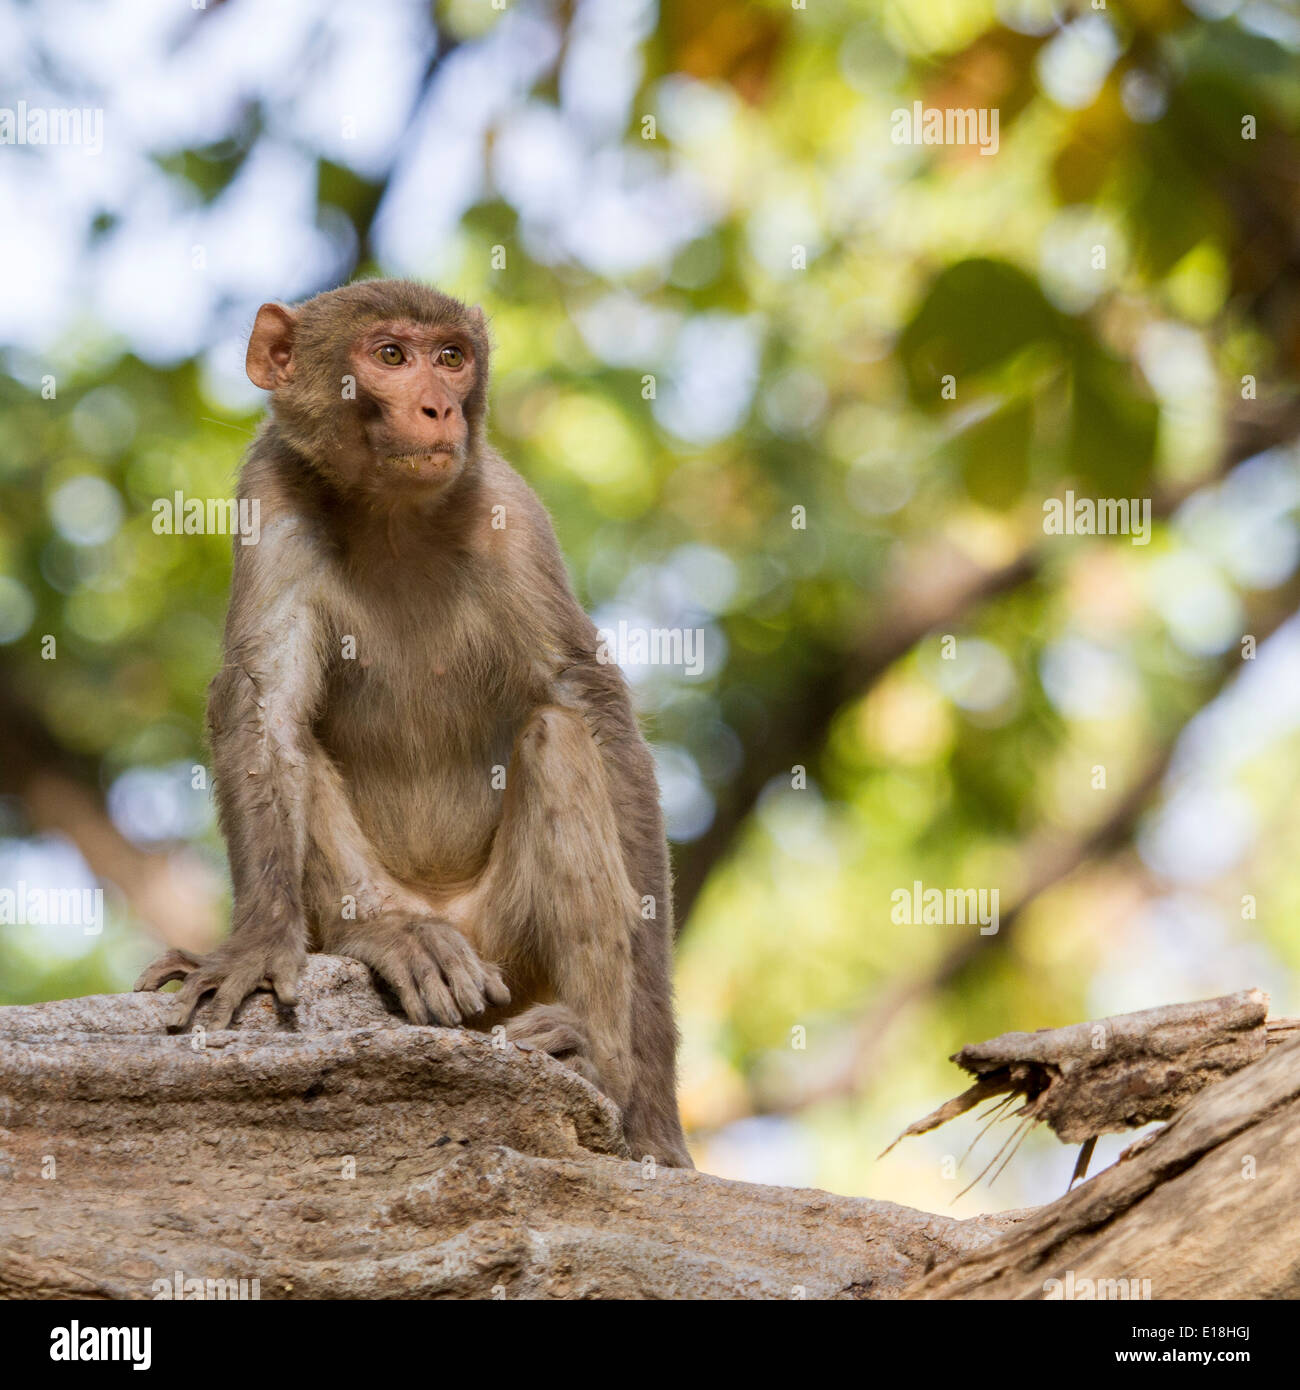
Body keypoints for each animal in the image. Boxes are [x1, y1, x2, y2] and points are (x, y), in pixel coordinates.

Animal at [134, 279, 692, 1168]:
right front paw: (256, 943)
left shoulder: (510, 508)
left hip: (509, 950)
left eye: (452, 357)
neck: (393, 512)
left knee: (557, 742)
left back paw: (588, 1052)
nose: (438, 407)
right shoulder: (271, 486)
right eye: (391, 356)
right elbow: (265, 699)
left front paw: (651, 1107)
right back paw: (396, 937)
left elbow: (590, 707)